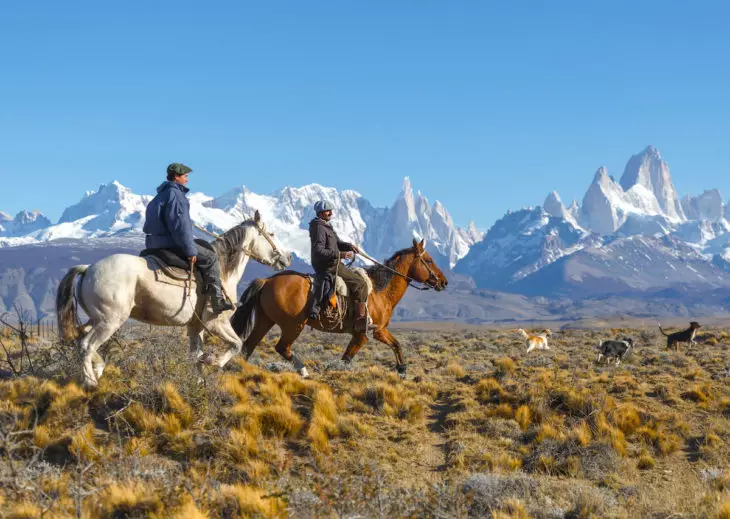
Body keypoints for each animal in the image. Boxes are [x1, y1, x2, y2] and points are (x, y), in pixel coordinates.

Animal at [56, 210, 290, 386]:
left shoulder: (196, 327)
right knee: (86, 345)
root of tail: (88, 268)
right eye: (271, 233)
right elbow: (236, 345)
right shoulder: (216, 323)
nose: (288, 257)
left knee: (80, 339)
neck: (223, 271)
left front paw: (199, 382)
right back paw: (90, 382)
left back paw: (98, 368)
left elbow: (195, 356)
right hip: (109, 321)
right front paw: (213, 361)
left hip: (96, 319)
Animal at [232, 240, 450, 378]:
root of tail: (267, 281)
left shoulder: (378, 330)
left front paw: (402, 370)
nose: (444, 282)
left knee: (248, 347)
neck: (379, 290)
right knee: (281, 347)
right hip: (293, 325)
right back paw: (303, 371)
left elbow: (396, 345)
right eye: (428, 260)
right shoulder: (363, 334)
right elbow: (346, 359)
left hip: (264, 321)